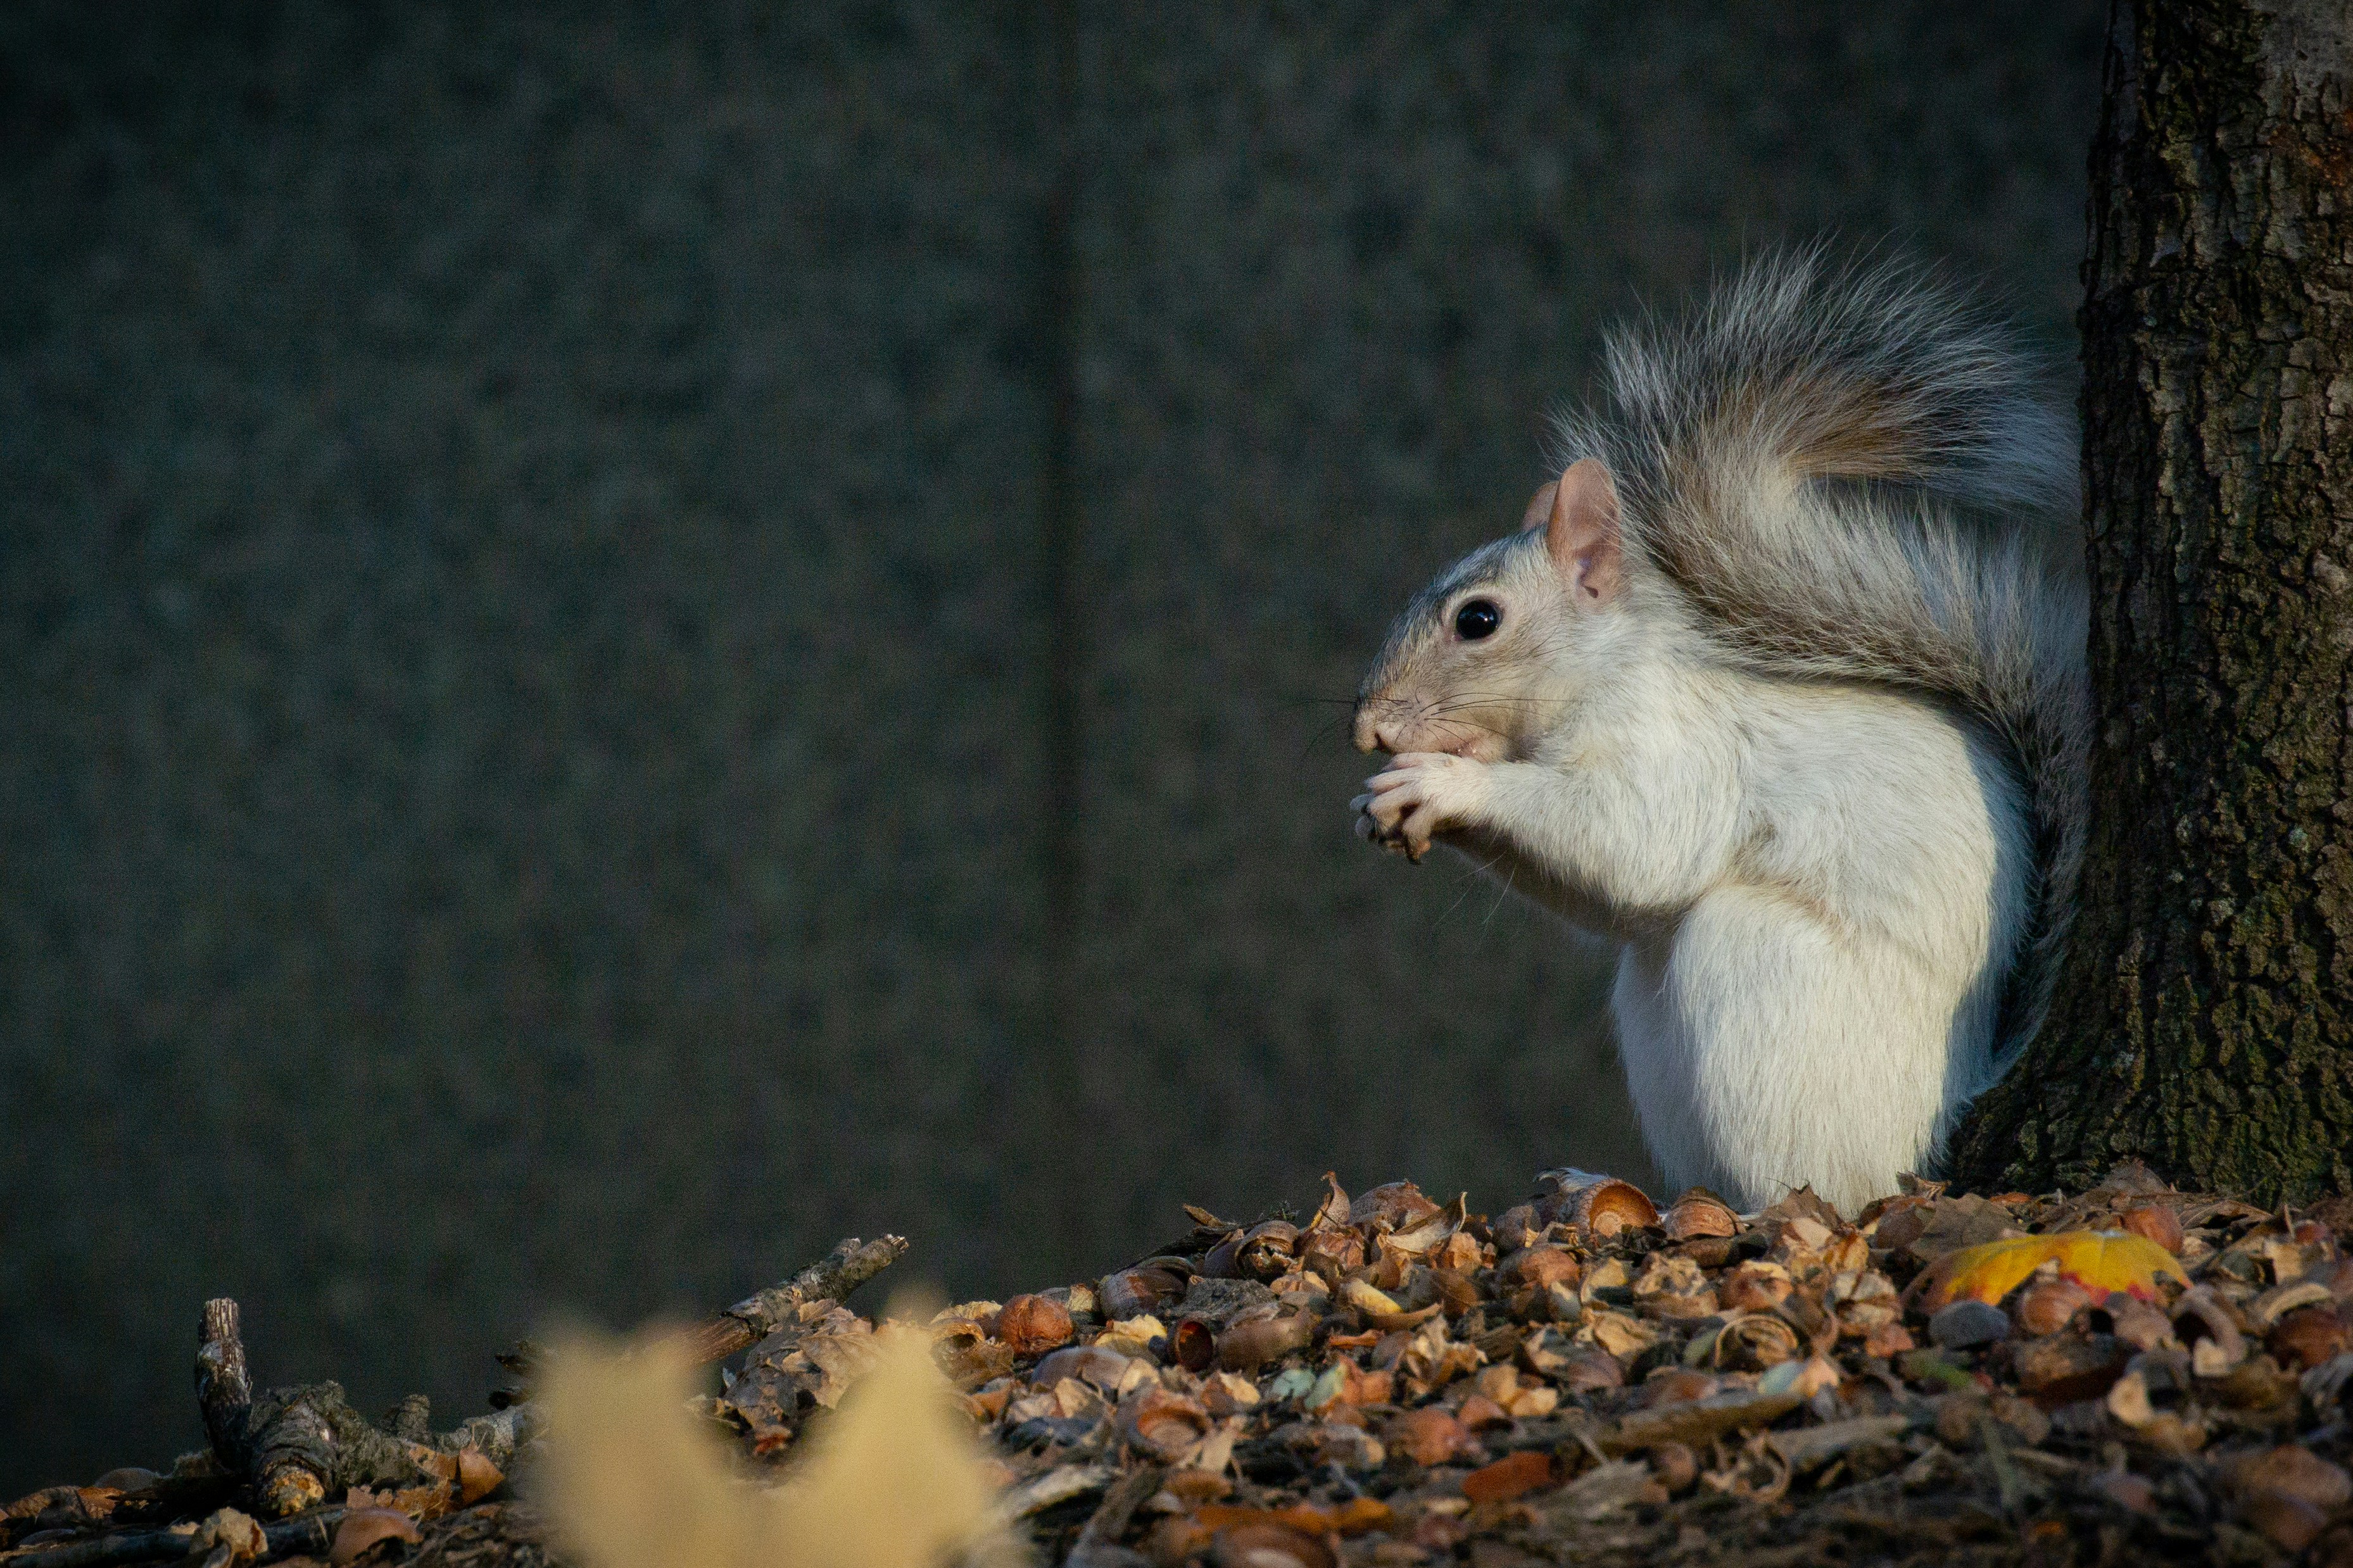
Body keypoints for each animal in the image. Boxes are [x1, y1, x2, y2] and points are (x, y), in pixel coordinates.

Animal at [1351, 251, 2089, 1216]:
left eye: (1478, 620)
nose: (1368, 723)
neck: (1605, 672)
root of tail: (1940, 1127)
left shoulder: (1679, 750)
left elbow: (1636, 842)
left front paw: (1440, 781)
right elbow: (1612, 903)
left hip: (1759, 983)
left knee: (1807, 1186)